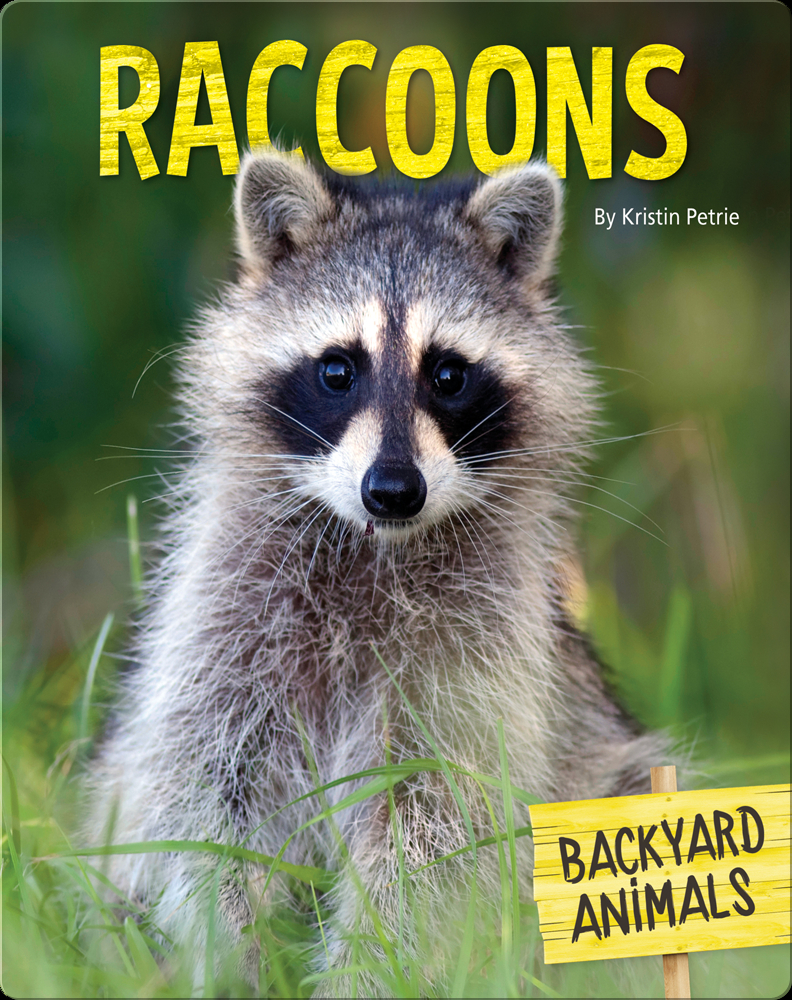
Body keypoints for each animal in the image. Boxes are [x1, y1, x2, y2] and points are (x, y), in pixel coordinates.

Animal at [88, 149, 667, 995]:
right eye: (338, 371)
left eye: (449, 375)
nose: (392, 489)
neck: (376, 544)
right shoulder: (226, 618)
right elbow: (201, 789)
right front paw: (226, 949)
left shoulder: (479, 663)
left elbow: (433, 826)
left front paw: (365, 969)